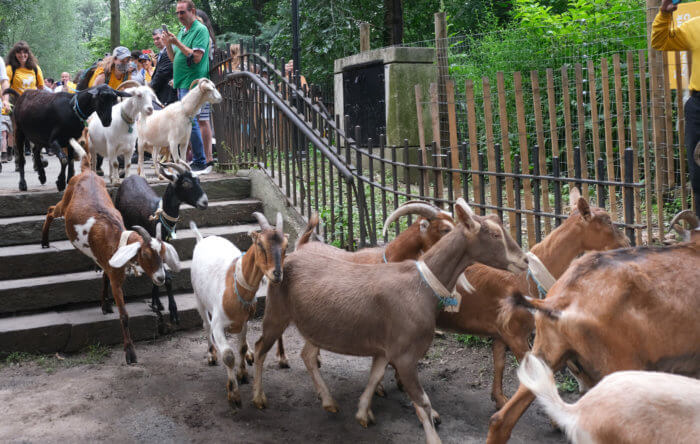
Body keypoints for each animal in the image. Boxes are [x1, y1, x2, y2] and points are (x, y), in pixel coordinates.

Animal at [41, 130, 180, 364]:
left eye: (162, 253)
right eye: (145, 254)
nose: (161, 278)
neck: (118, 239)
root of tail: (87, 170)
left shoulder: (107, 262)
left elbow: (104, 277)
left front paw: (105, 305)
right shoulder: (117, 279)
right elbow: (124, 316)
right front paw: (130, 353)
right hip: (64, 203)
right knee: (51, 210)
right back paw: (44, 241)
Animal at [111, 160, 208, 323]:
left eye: (199, 180)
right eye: (186, 183)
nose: (205, 202)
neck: (159, 214)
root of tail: (131, 177)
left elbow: (159, 273)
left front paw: (156, 302)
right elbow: (166, 277)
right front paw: (172, 310)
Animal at [190, 213, 288, 407]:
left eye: (286, 246)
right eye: (260, 244)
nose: (277, 274)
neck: (235, 286)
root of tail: (202, 239)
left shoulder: (243, 321)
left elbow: (241, 347)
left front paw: (243, 374)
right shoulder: (218, 324)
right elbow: (228, 355)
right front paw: (233, 393)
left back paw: (249, 354)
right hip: (198, 297)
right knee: (206, 324)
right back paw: (211, 354)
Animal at [252, 200, 529, 444]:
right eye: (493, 233)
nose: (524, 260)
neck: (421, 284)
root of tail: (291, 256)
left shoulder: (386, 350)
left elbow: (374, 377)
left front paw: (363, 413)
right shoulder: (405, 355)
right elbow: (423, 401)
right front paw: (433, 436)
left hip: (316, 327)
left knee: (307, 354)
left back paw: (329, 402)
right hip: (276, 314)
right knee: (259, 347)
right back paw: (258, 397)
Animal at [436, 188, 629, 408]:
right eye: (607, 220)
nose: (626, 242)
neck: (527, 277)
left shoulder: (501, 330)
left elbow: (499, 362)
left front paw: (500, 399)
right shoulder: (515, 333)